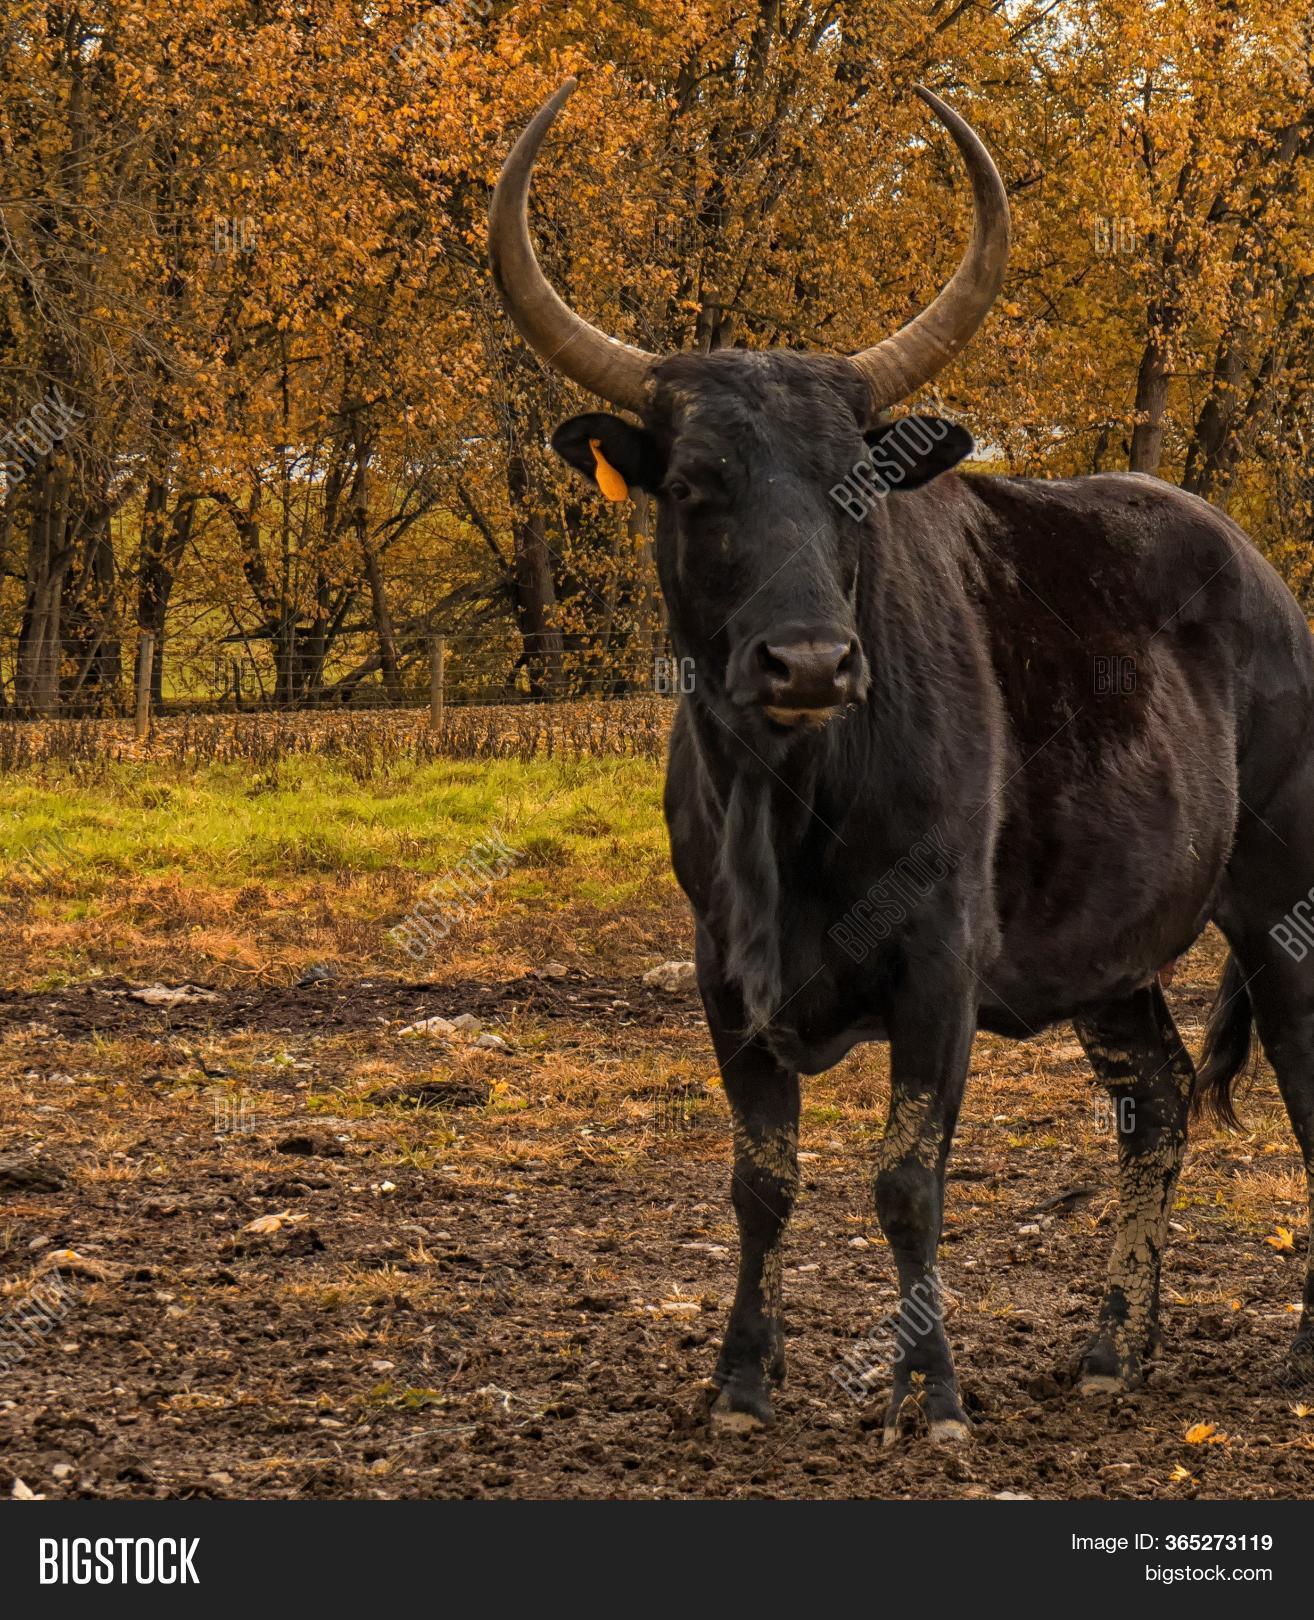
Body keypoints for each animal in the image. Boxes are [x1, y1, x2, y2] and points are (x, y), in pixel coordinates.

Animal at [489, 78, 1314, 1443]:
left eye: (857, 486)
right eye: (697, 484)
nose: (811, 664)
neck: (792, 807)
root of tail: (1260, 578)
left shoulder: (939, 968)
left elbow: (905, 1181)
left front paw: (930, 1392)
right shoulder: (724, 977)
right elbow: (761, 1183)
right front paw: (741, 1382)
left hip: (1283, 910)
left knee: (1304, 1089)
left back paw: (1292, 1353)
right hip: (1110, 953)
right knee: (1156, 1100)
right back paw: (1114, 1348)